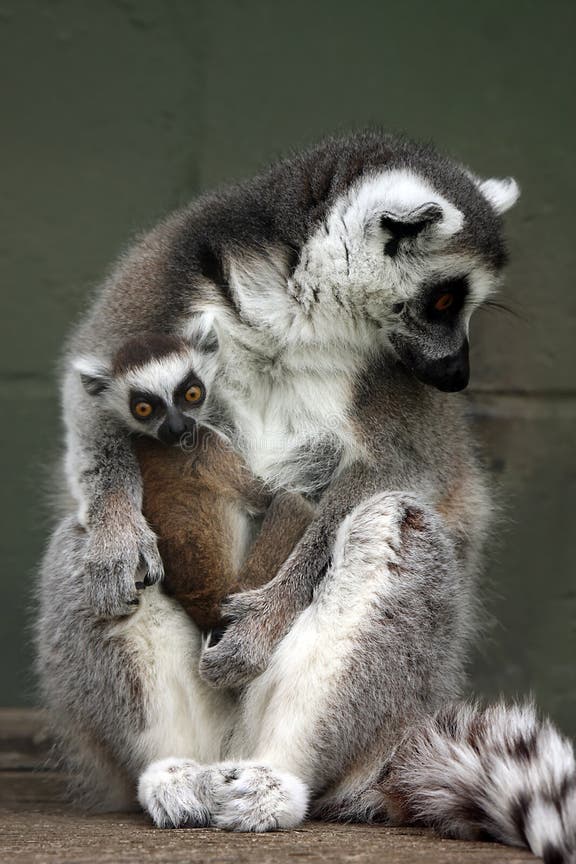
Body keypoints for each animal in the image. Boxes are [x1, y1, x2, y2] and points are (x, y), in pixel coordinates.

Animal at [75, 330, 314, 630]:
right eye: (143, 408)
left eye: (192, 393)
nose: (178, 428)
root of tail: (210, 606)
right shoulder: (208, 448)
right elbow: (268, 497)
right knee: (291, 503)